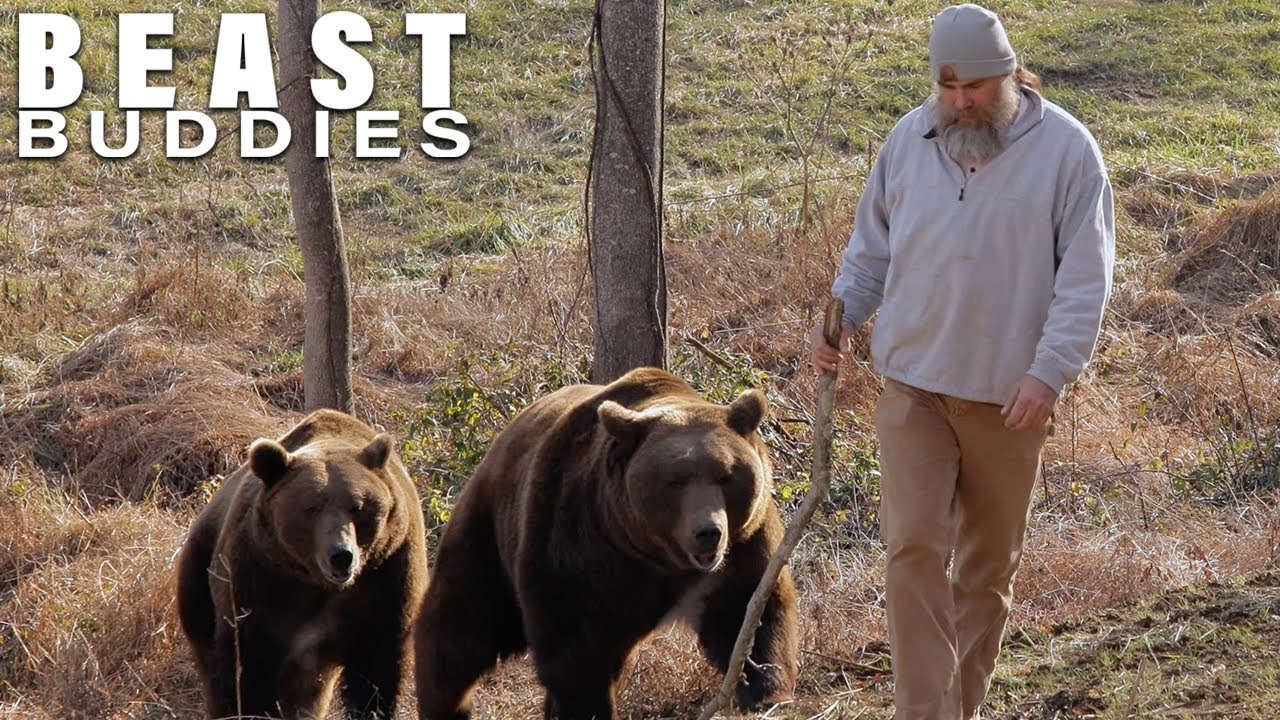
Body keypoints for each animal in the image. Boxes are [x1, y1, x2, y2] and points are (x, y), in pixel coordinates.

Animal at [176, 409, 429, 720]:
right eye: (311, 508)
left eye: (357, 507)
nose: (341, 555)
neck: (316, 582)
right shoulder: (259, 574)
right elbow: (248, 666)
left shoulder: (387, 572)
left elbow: (377, 669)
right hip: (198, 575)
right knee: (212, 662)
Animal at [414, 367, 798, 720]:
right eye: (675, 480)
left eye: (726, 475)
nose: (708, 531)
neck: (660, 558)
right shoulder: (581, 540)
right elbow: (576, 642)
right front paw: (587, 708)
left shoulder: (745, 543)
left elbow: (749, 611)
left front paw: (765, 691)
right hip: (489, 529)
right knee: (461, 623)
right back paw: (445, 705)